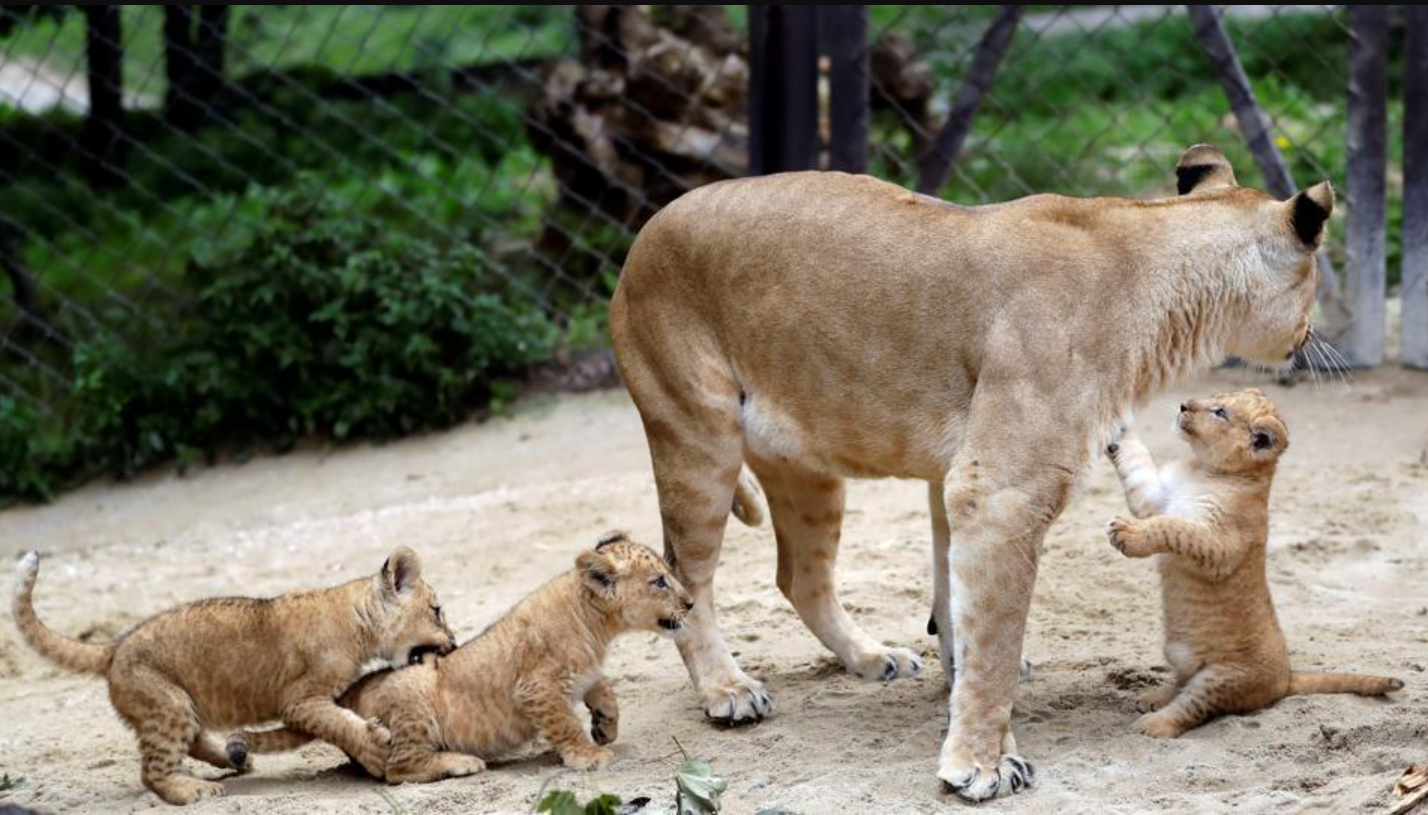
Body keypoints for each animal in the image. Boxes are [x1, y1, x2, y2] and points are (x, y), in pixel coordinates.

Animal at [11, 547, 455, 804]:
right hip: (168, 703)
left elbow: (338, 723)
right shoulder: (299, 701)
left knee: (189, 742)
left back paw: (234, 758)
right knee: (152, 771)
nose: (453, 643)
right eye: (437, 610)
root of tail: (114, 647)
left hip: (178, 706)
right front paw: (374, 749)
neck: (357, 619)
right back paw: (193, 789)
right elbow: (339, 725)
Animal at [228, 532, 695, 783]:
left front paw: (605, 727)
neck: (595, 623)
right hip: (415, 700)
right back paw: (462, 762)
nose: (690, 603)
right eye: (660, 581)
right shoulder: (536, 687)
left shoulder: (585, 673)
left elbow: (605, 691)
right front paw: (589, 754)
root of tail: (352, 690)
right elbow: (563, 721)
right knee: (398, 768)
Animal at [607, 144, 1331, 800]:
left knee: (800, 577)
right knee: (687, 575)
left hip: (805, 464)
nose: (1311, 334)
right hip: (697, 436)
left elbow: (963, 601)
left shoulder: (959, 478)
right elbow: (997, 636)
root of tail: (646, 231)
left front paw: (958, 683)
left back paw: (873, 657)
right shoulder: (1000, 491)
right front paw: (982, 762)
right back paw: (728, 690)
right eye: (1316, 277)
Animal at [1106, 389, 1401, 738]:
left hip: (1223, 676)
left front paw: (1127, 534)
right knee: (1181, 684)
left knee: (1191, 706)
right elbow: (1137, 468)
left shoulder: (1219, 544)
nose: (1183, 405)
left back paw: (1153, 724)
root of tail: (1286, 678)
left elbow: (1172, 527)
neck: (1202, 469)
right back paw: (1154, 697)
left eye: (1220, 412)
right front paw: (1119, 427)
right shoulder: (1155, 498)